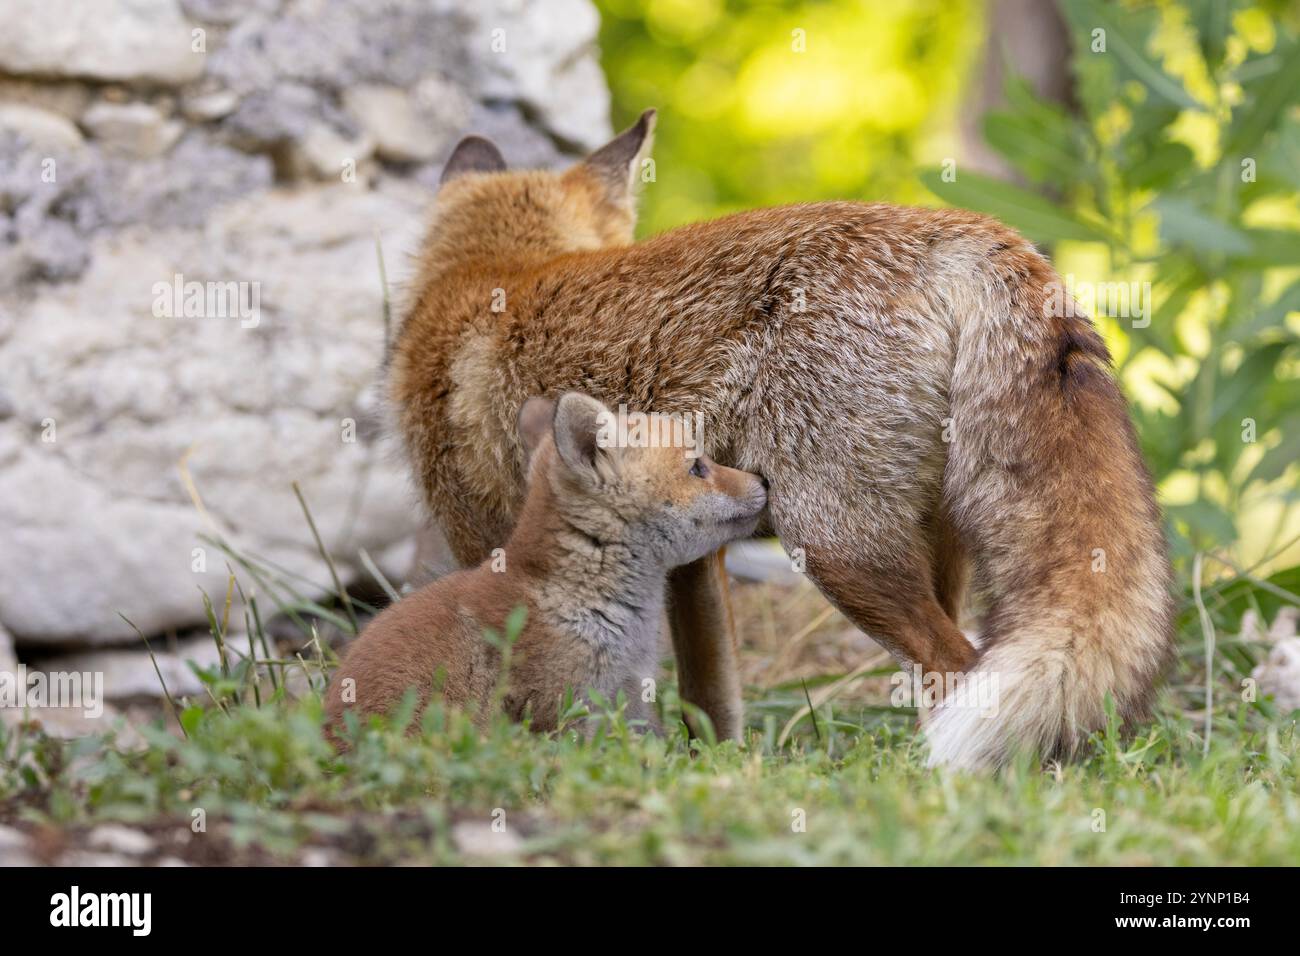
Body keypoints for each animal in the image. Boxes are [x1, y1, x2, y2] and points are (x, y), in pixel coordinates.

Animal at [386, 109, 1176, 769]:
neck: (495, 273)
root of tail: (959, 230)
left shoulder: (490, 539)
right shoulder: (695, 553)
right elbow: (711, 694)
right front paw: (718, 769)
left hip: (832, 544)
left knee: (956, 668)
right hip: (932, 539)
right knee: (952, 667)